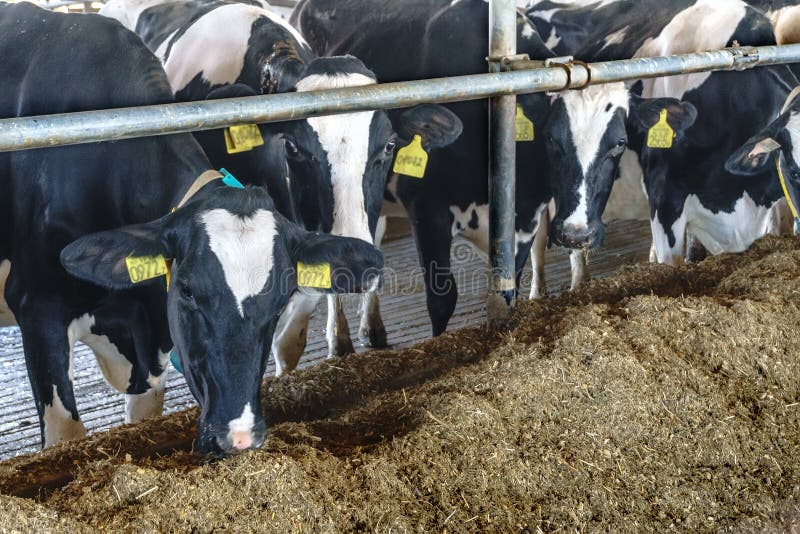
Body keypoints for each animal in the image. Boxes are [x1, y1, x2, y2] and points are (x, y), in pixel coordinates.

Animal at [292, 0, 572, 339]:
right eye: (555, 136)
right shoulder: (427, 209)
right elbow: (442, 299)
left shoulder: (523, 222)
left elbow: (509, 284)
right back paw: (339, 337)